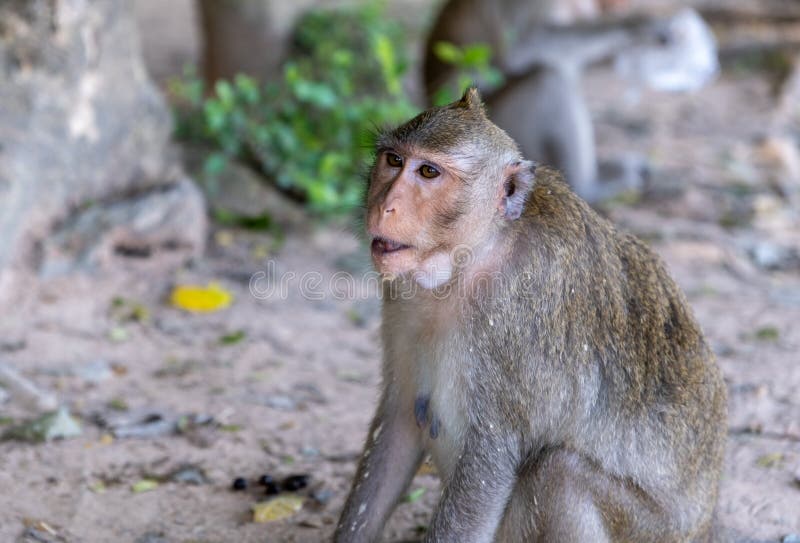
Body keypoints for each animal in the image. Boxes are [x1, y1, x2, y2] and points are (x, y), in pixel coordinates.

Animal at [333, 88, 726, 543]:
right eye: (394, 161)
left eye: (429, 172)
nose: (384, 206)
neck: (475, 255)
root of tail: (705, 522)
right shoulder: (401, 296)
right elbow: (397, 422)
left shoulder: (515, 321)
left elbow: (490, 459)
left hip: (649, 530)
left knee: (560, 474)